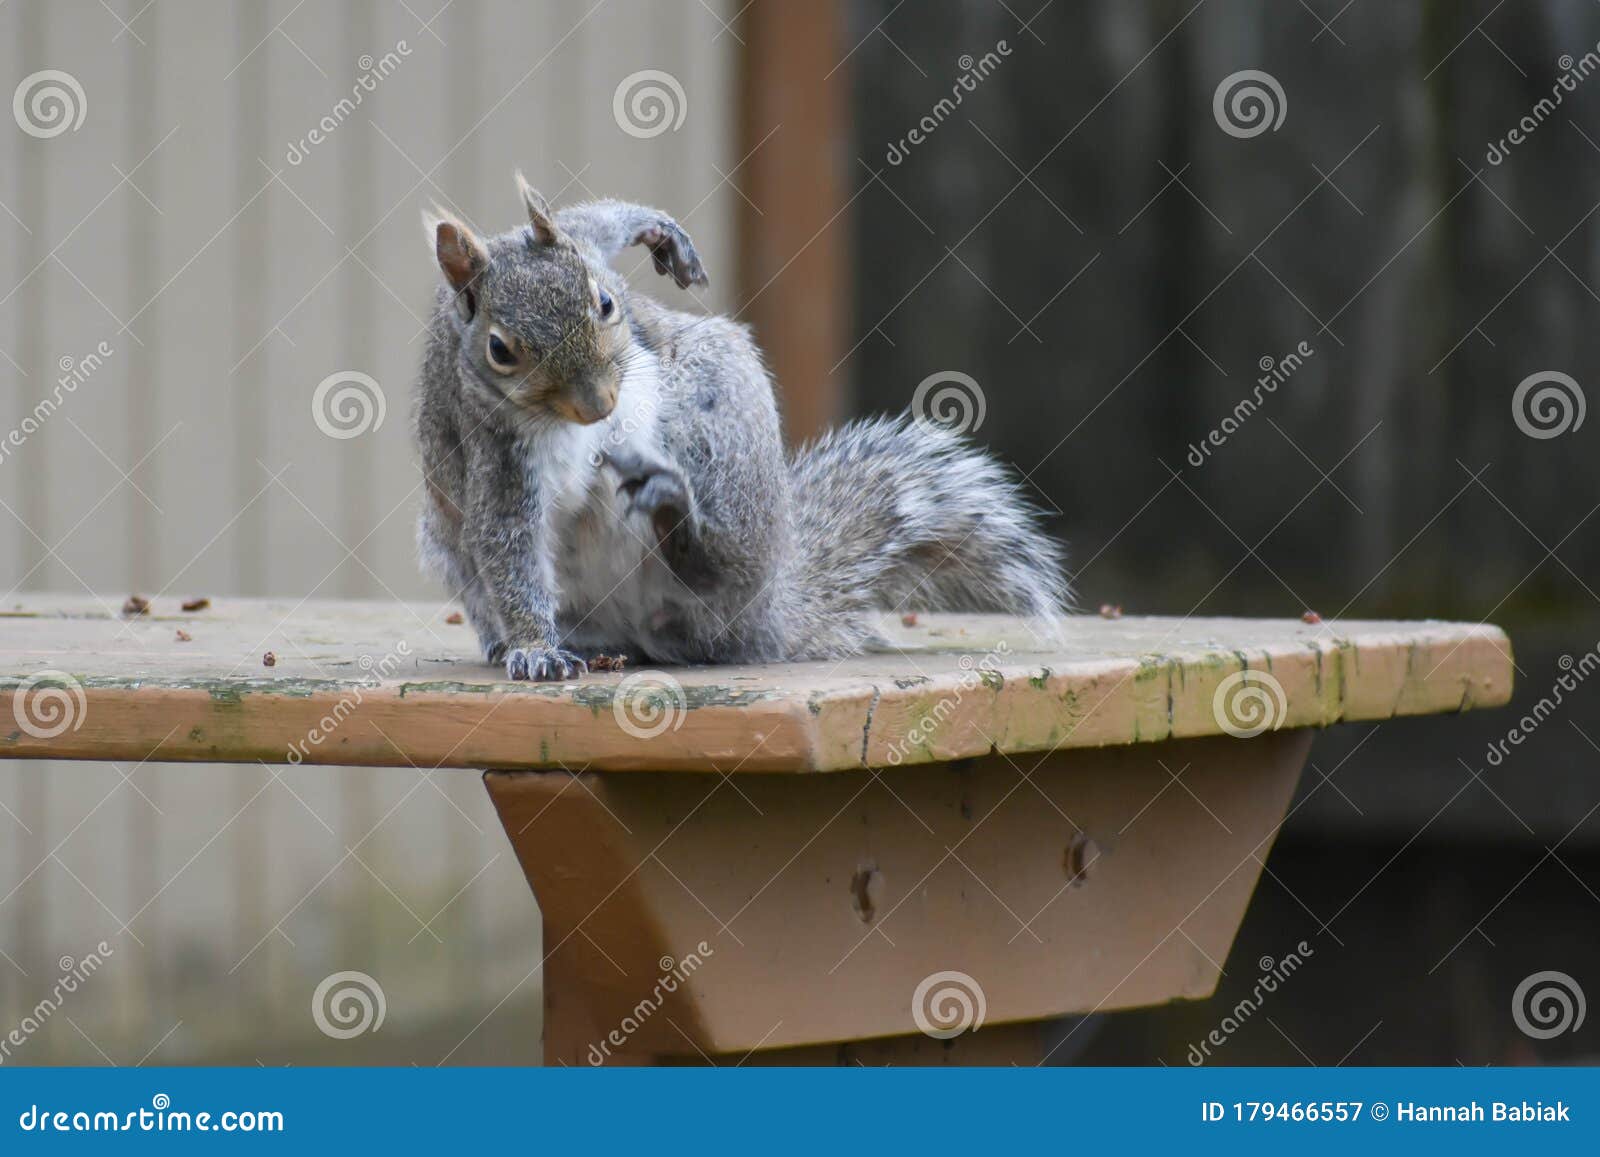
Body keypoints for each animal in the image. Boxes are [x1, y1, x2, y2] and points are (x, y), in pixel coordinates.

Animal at [413, 173, 1068, 681]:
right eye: (501, 350)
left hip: (722, 414)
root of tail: (768, 615)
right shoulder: (498, 454)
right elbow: (508, 547)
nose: (601, 405)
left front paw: (655, 228)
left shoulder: (582, 244)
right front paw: (535, 649)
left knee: (723, 564)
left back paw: (680, 519)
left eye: (606, 303)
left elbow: (591, 221)